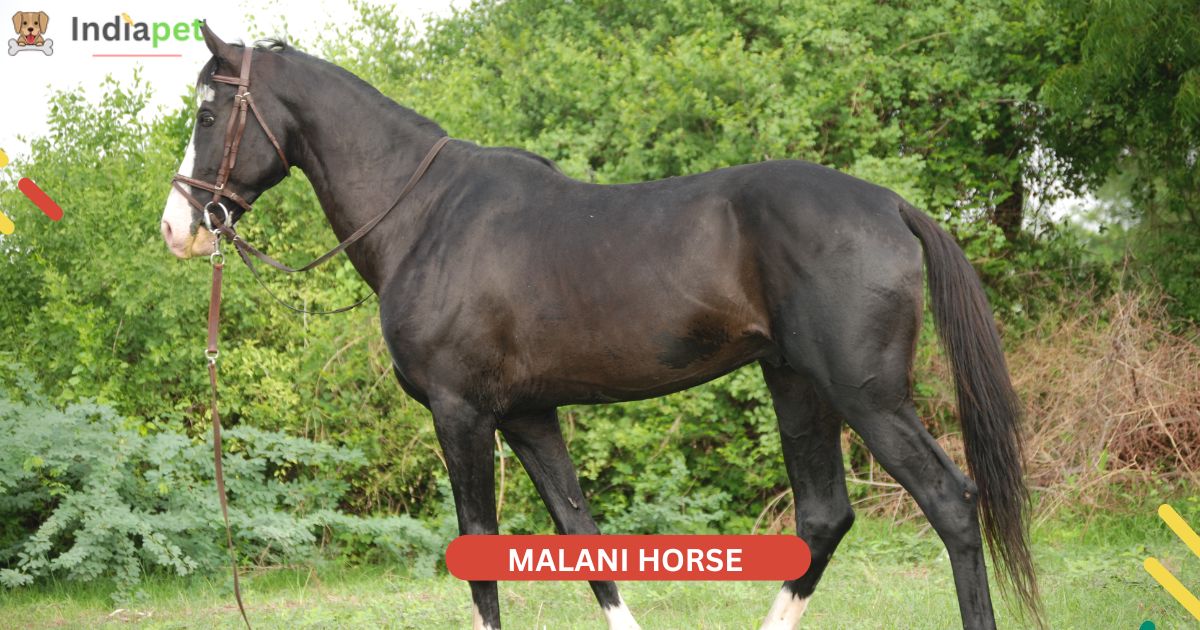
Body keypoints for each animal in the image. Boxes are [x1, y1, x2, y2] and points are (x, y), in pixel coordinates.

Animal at [160, 24, 1039, 630]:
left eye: (208, 111)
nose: (179, 227)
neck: (426, 215)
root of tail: (890, 205)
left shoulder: (461, 415)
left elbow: (480, 546)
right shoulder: (528, 415)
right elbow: (580, 532)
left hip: (867, 396)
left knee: (950, 502)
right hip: (798, 386)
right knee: (823, 516)